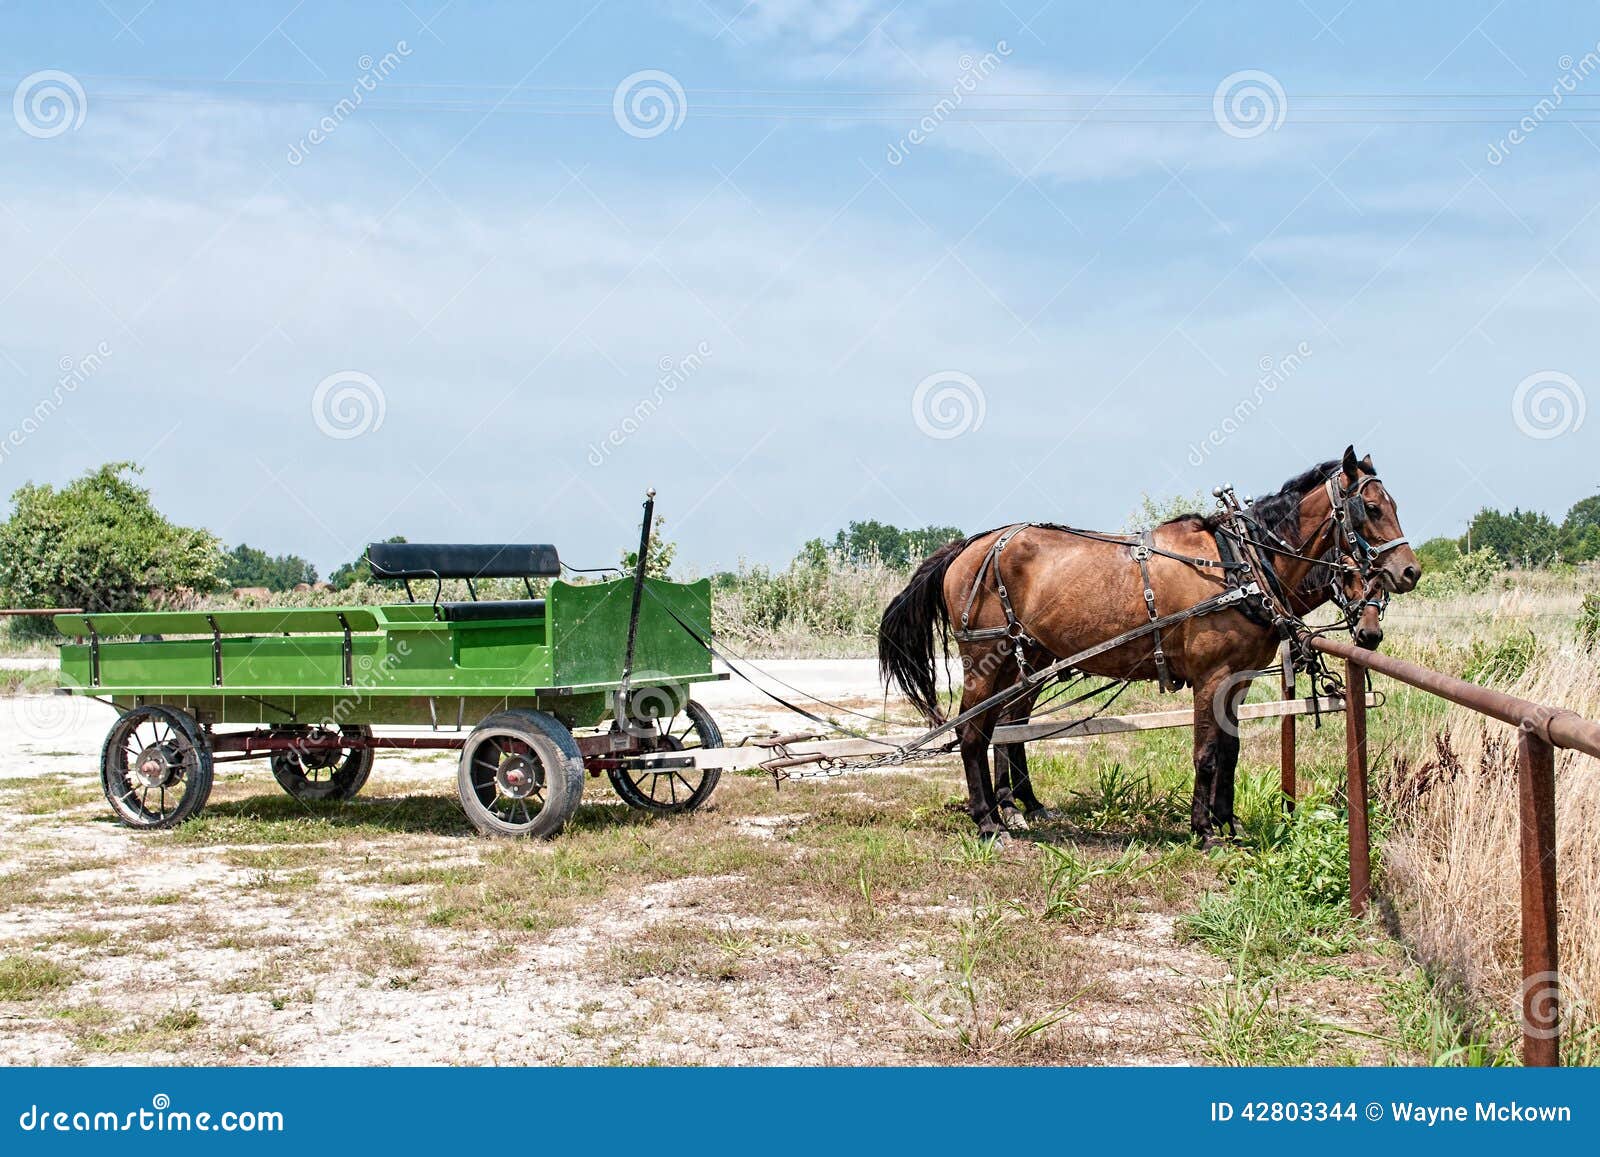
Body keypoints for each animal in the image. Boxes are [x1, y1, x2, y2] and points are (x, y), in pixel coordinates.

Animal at [878, 446, 1420, 847]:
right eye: (1372, 508)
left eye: (1396, 506)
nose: (1409, 571)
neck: (1239, 565)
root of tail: (970, 547)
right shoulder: (1211, 677)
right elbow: (1206, 753)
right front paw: (1204, 831)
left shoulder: (1238, 680)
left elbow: (1231, 751)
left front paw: (1229, 822)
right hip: (985, 660)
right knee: (973, 733)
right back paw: (989, 820)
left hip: (1023, 661)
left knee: (1006, 729)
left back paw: (1014, 808)